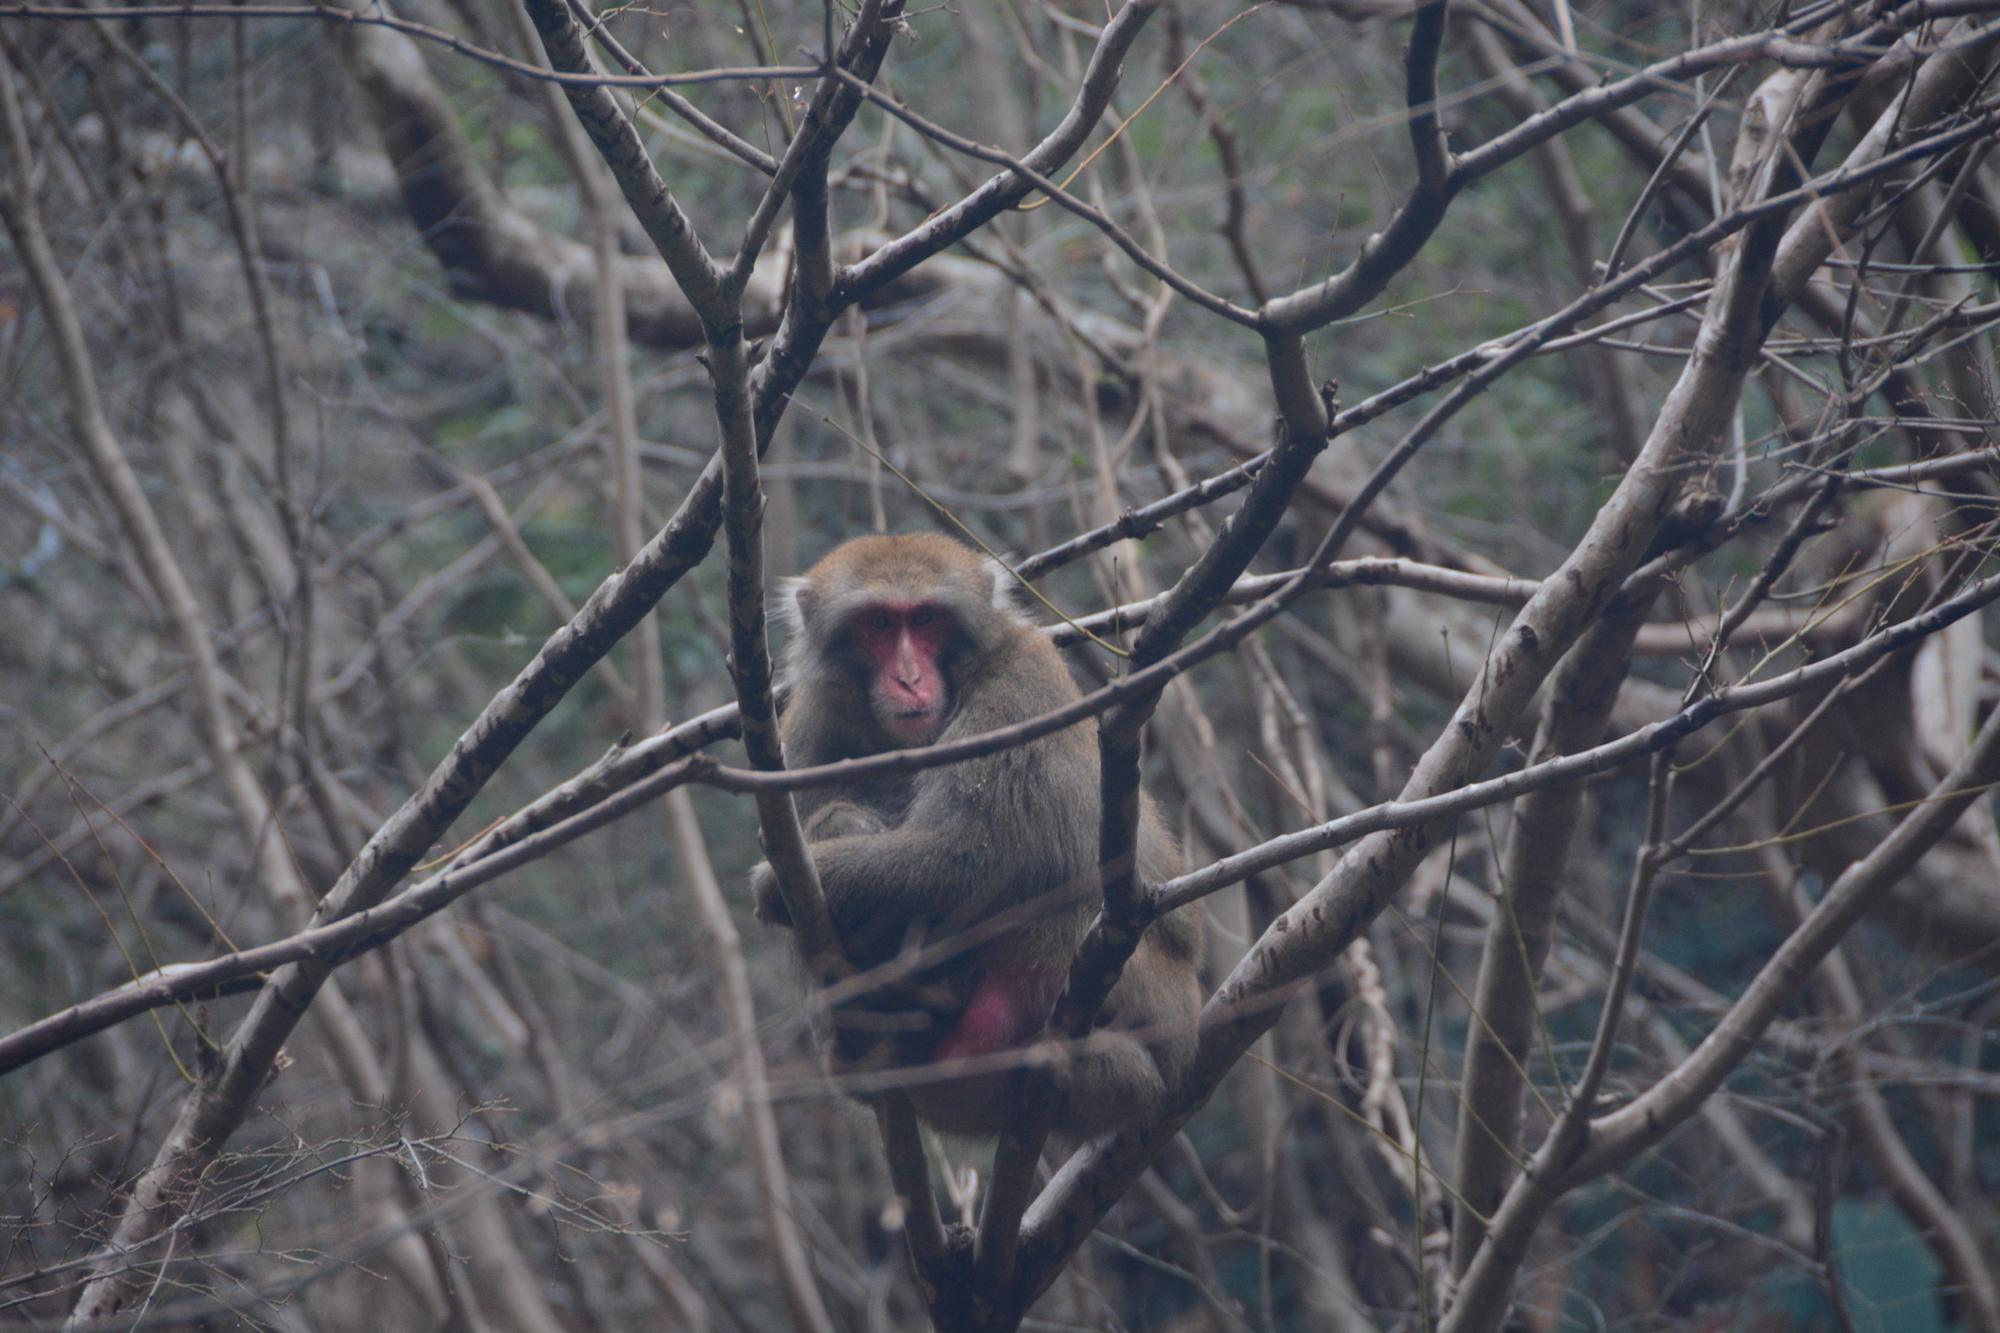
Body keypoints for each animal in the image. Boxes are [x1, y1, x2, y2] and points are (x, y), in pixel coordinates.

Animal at [748, 533, 1203, 1138]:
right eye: (878, 624)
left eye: (925, 620)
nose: (910, 679)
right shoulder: (808, 727)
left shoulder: (1021, 685)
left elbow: (978, 854)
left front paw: (771, 886)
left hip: (1154, 1001)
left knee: (1062, 895)